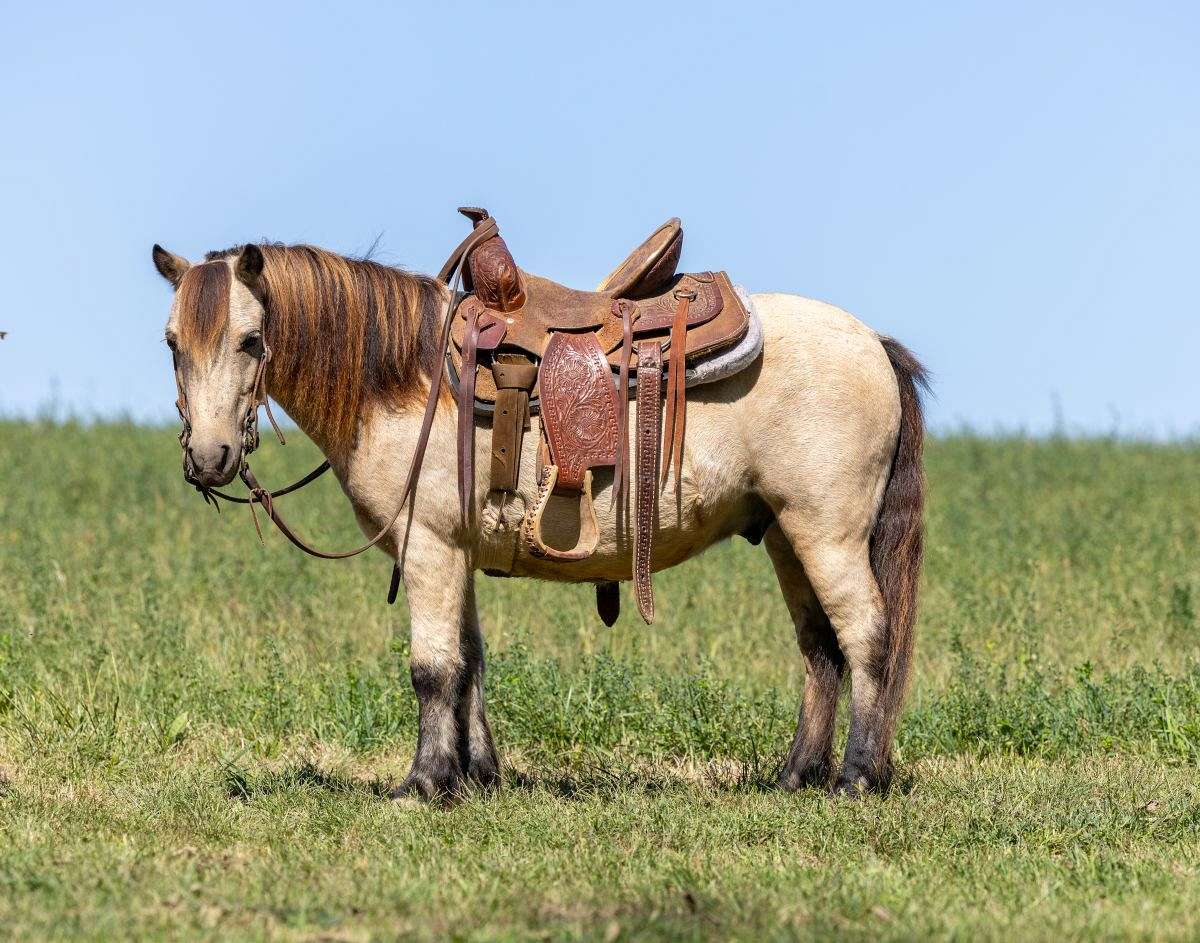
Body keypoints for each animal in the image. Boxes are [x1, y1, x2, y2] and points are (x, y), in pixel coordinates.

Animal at [151, 236, 927, 800]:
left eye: (251, 340)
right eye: (171, 342)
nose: (210, 458)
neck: (406, 380)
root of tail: (873, 342)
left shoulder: (427, 547)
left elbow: (431, 668)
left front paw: (423, 783)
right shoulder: (456, 551)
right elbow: (469, 662)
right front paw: (478, 775)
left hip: (828, 535)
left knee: (866, 637)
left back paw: (858, 778)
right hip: (787, 539)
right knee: (819, 649)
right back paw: (797, 775)